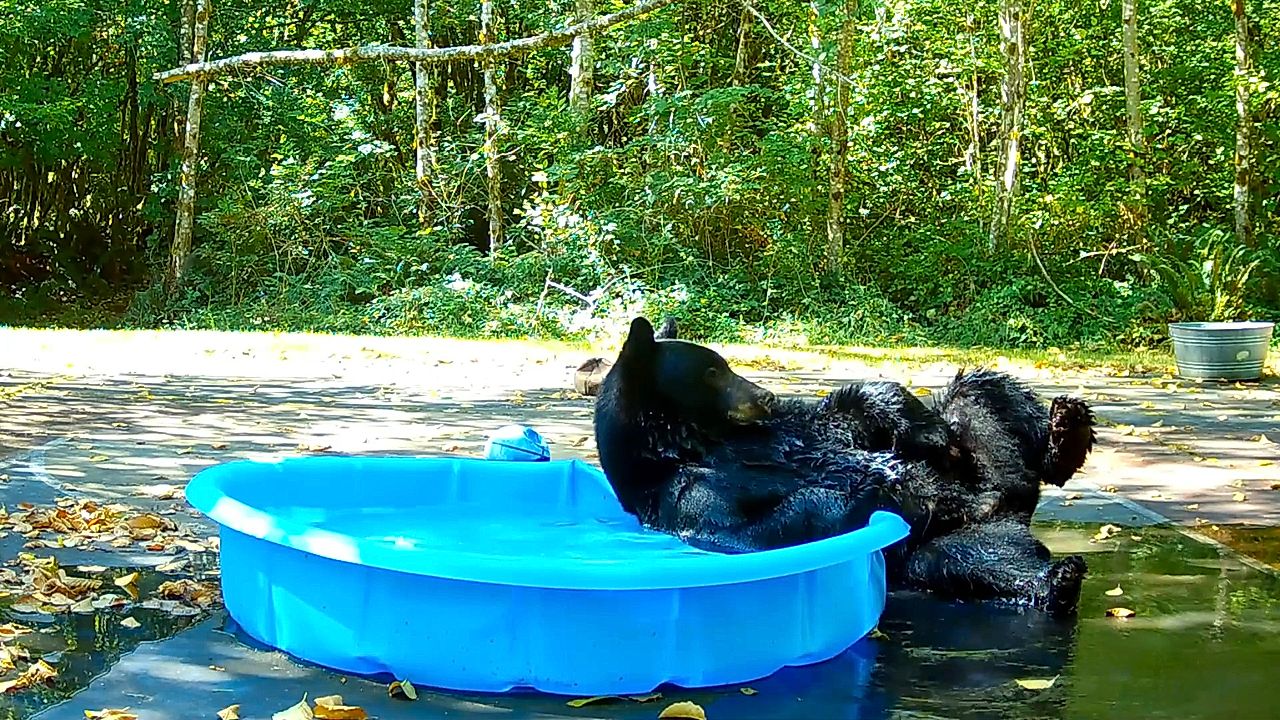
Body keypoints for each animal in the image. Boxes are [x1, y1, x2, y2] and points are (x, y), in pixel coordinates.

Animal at [593, 316, 1094, 616]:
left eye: (725, 363)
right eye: (713, 372)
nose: (765, 396)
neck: (696, 442)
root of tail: (1002, 506)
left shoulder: (786, 430)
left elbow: (847, 412)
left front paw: (924, 434)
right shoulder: (683, 493)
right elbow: (744, 534)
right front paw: (881, 486)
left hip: (989, 461)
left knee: (981, 391)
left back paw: (1066, 432)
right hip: (946, 543)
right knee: (967, 562)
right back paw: (1056, 581)